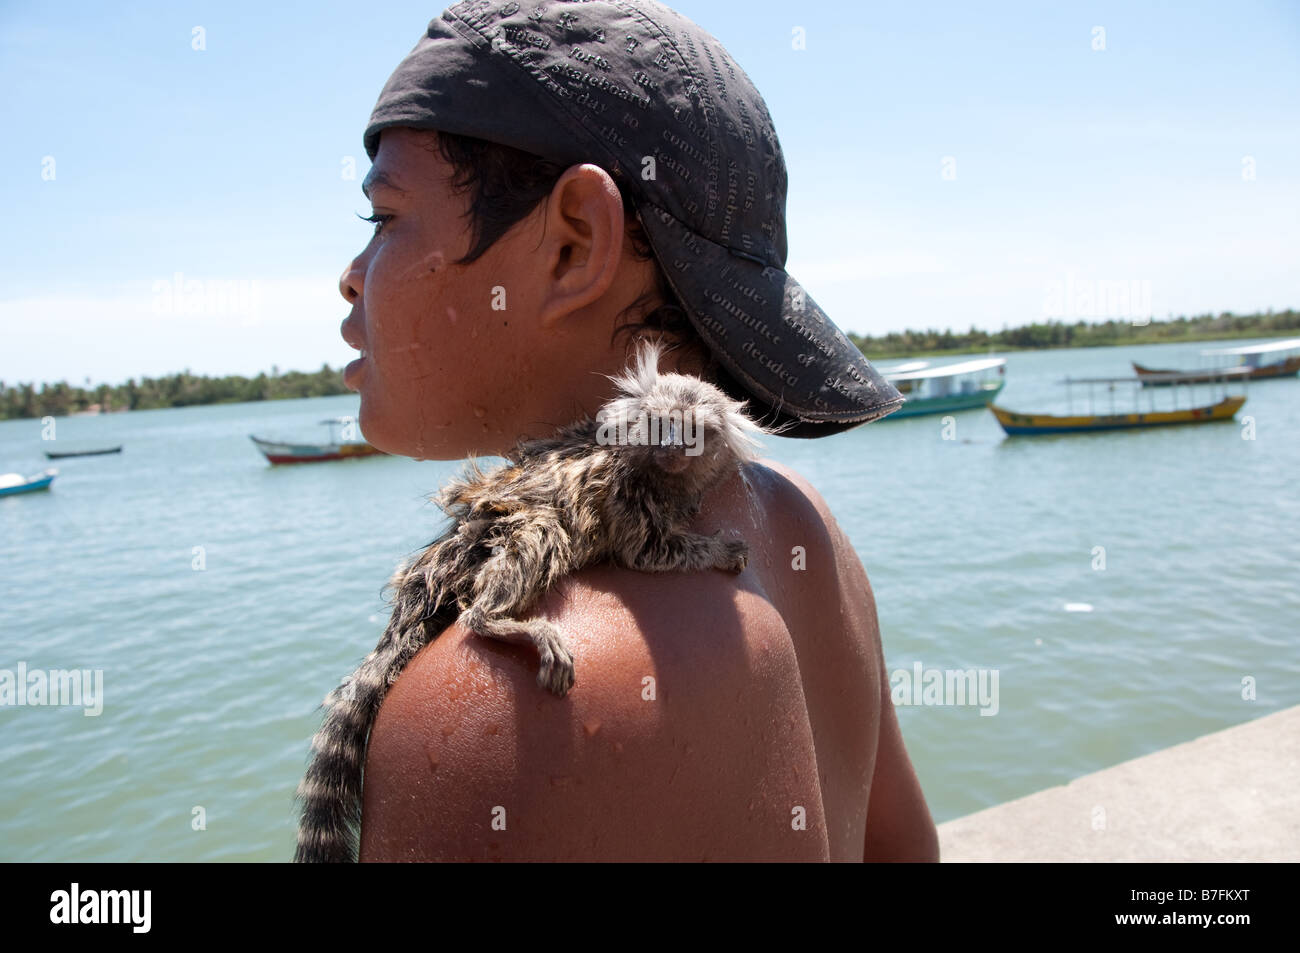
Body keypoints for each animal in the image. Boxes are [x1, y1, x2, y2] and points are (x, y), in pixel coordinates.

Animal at [293, 338, 784, 862]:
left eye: (694, 433)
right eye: (659, 425)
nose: (672, 446)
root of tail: (428, 573)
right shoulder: (626, 494)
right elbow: (646, 552)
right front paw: (719, 550)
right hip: (499, 540)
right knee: (531, 541)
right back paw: (503, 623)